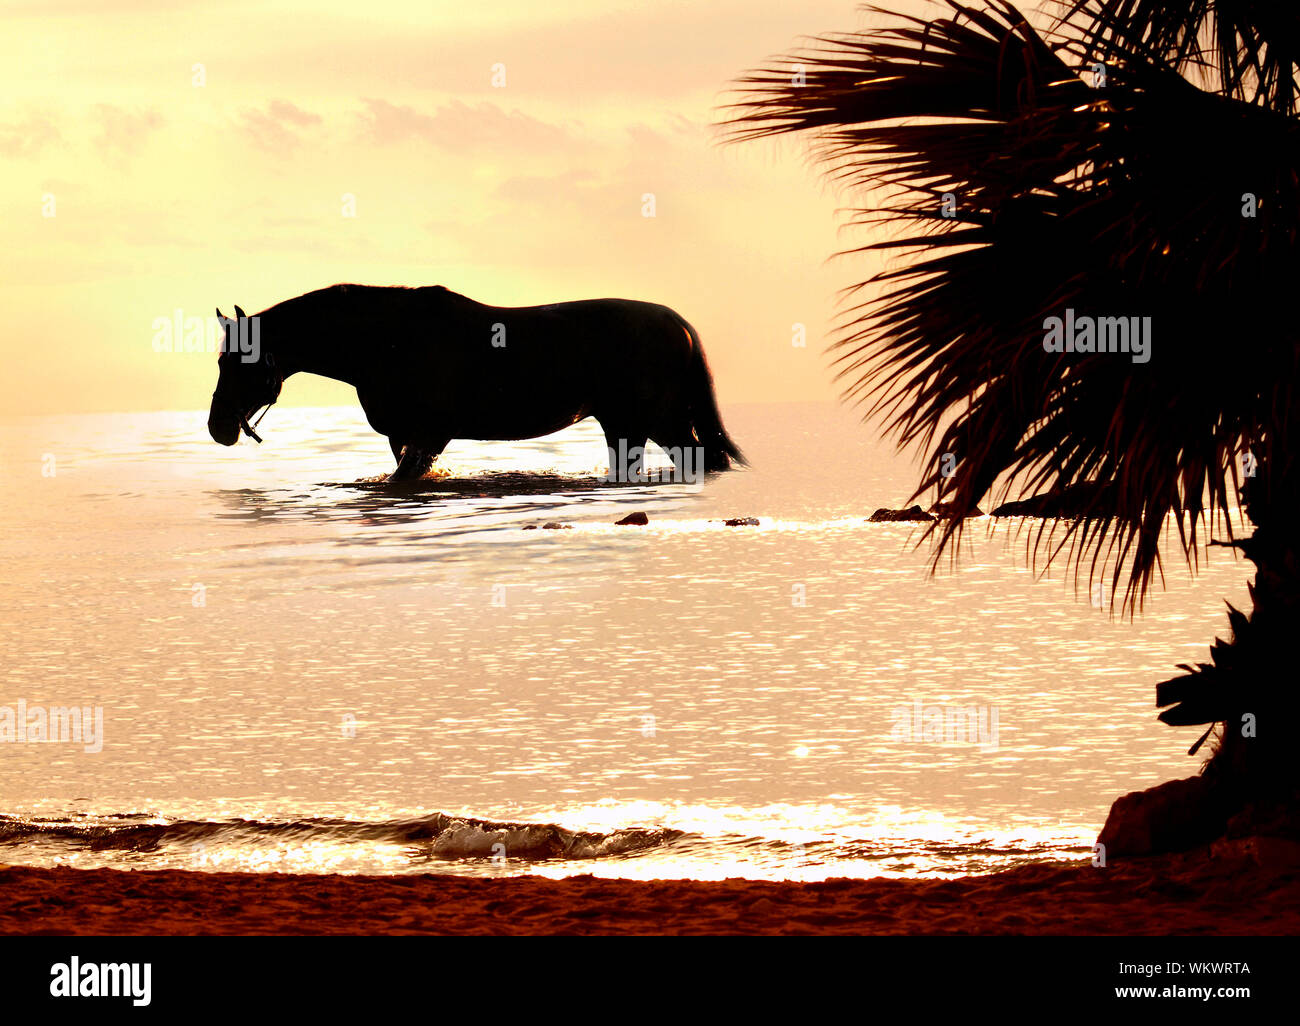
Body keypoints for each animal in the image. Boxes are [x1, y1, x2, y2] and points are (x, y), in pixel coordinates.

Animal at [207, 284, 745, 481]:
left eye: (239, 362)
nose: (218, 428)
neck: (388, 340)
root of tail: (678, 323)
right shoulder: (403, 437)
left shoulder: (430, 435)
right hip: (635, 425)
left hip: (649, 423)